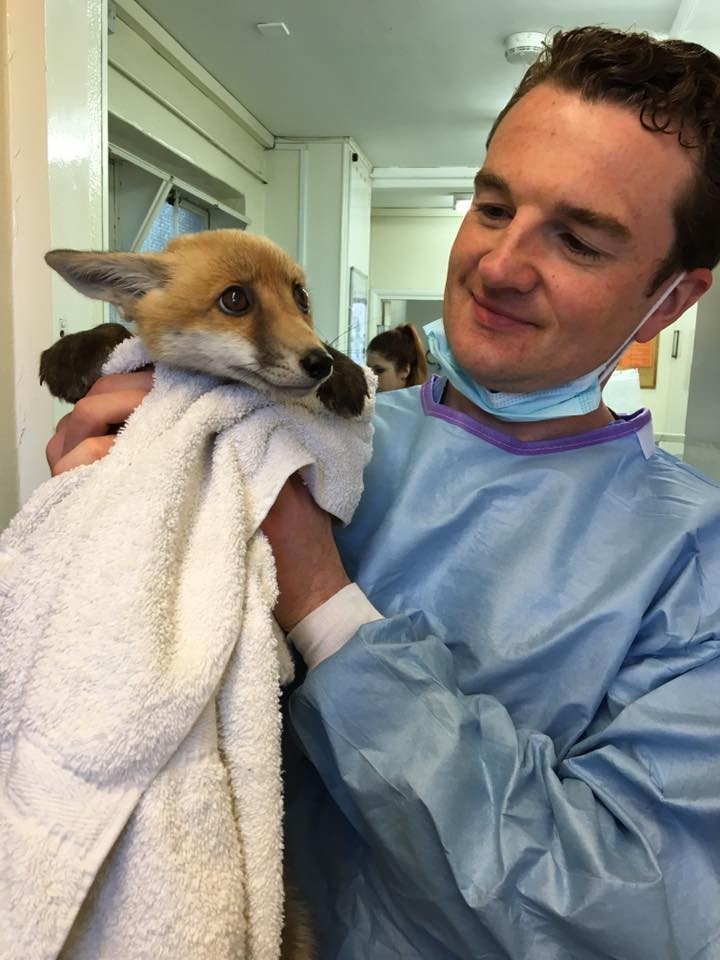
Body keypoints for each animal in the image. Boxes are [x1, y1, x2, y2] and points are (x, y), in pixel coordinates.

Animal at [42, 228, 368, 419]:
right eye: (235, 299)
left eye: (301, 296)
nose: (321, 364)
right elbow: (116, 330)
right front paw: (71, 351)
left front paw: (346, 372)